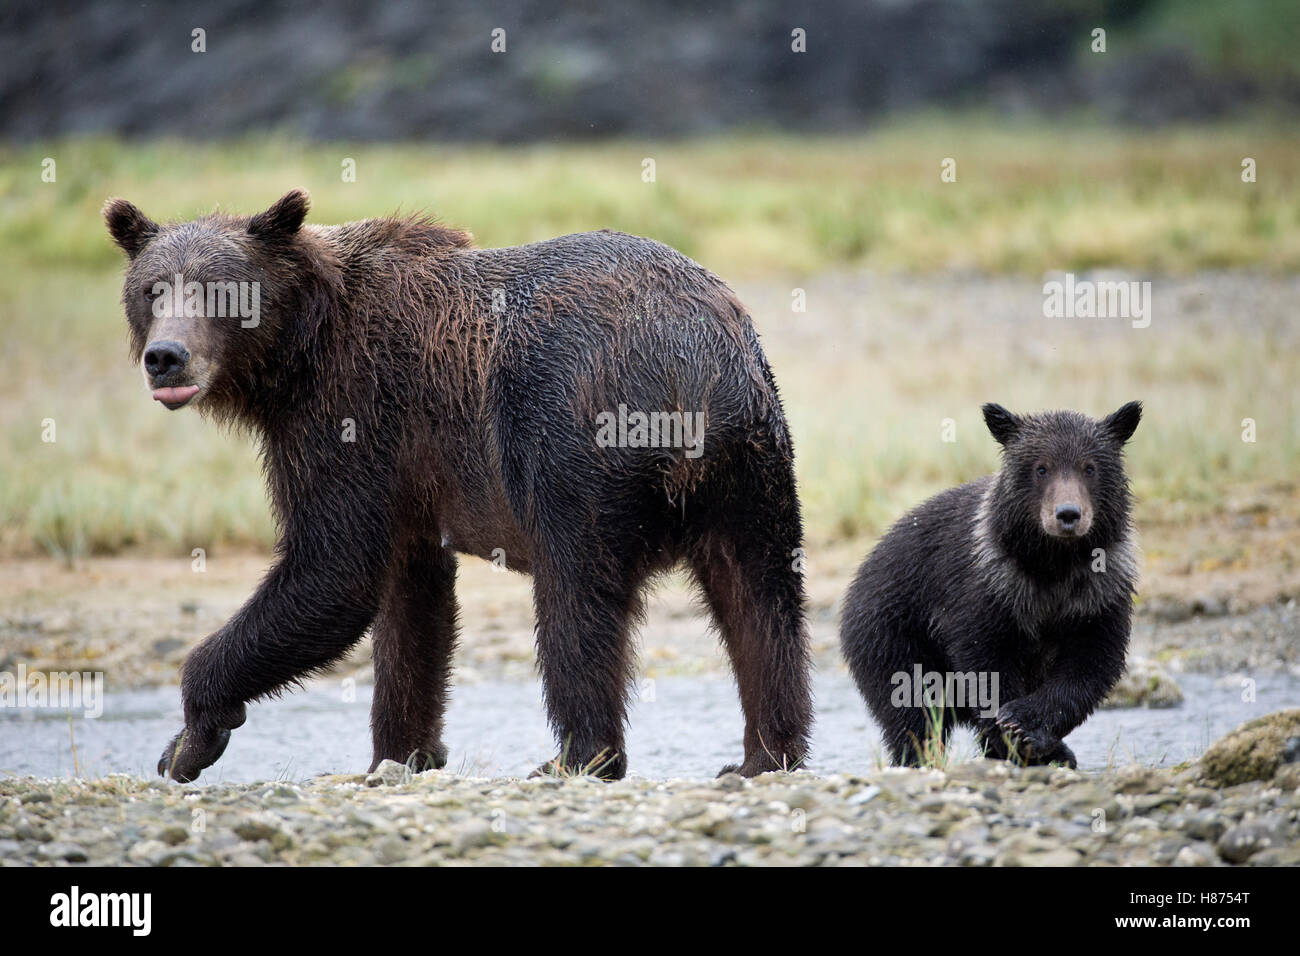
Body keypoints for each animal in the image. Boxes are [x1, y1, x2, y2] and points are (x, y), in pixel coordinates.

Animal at [103, 189, 813, 782]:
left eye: (220, 291)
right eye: (152, 290)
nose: (166, 357)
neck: (296, 355)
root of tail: (692, 363)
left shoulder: (353, 413)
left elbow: (333, 571)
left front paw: (187, 742)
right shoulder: (408, 475)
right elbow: (410, 601)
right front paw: (399, 752)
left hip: (573, 437)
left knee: (575, 594)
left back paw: (577, 757)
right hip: (753, 459)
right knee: (757, 596)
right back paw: (763, 755)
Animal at [839, 401, 1142, 768]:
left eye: (1090, 467)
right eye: (1041, 467)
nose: (1068, 514)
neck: (1054, 565)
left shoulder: (1099, 593)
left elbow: (1089, 665)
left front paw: (1026, 728)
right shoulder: (988, 589)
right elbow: (985, 664)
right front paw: (1014, 731)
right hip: (894, 631)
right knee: (910, 706)